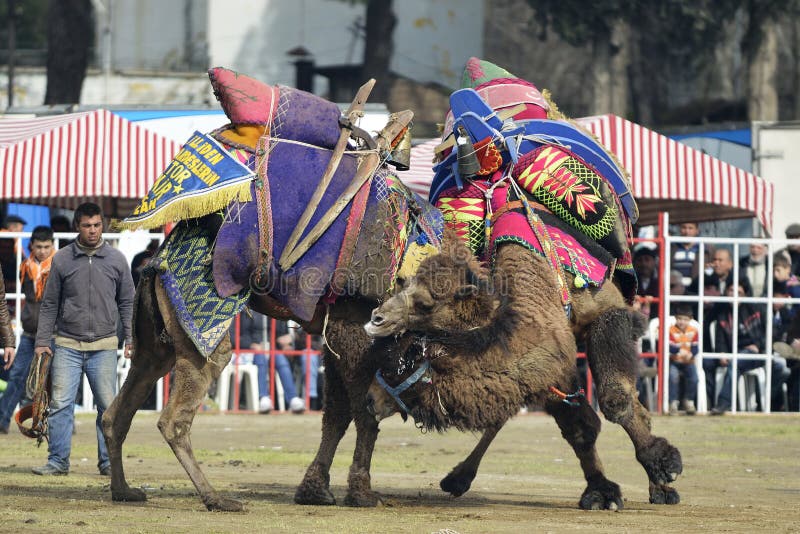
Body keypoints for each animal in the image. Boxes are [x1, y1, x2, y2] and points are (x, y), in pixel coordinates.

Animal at [364, 235, 684, 507]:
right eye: (404, 283)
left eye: (425, 303)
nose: (376, 318)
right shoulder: (554, 362)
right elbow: (579, 426)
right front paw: (602, 492)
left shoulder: (604, 316)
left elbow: (614, 402)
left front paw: (663, 464)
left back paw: (662, 487)